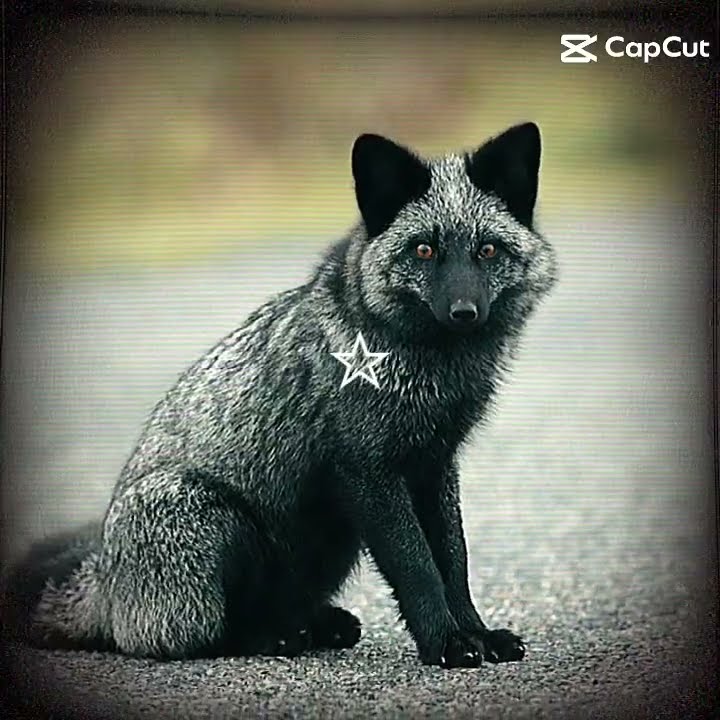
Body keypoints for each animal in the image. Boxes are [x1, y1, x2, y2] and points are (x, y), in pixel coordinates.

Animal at [2, 122, 558, 669]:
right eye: (424, 250)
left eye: (487, 250)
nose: (465, 312)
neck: (430, 367)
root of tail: (105, 583)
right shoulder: (368, 470)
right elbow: (417, 566)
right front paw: (446, 643)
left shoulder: (434, 464)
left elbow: (453, 560)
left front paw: (476, 633)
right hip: (208, 513)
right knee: (196, 636)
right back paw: (273, 637)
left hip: (333, 535)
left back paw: (315, 624)